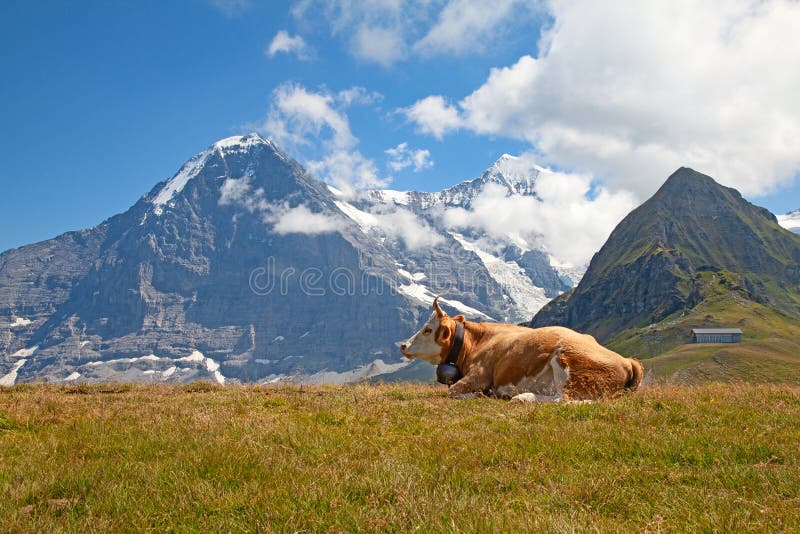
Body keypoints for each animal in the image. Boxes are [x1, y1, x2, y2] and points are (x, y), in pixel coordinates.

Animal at [399, 297, 643, 402]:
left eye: (428, 329)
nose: (403, 345)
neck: (477, 342)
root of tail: (627, 361)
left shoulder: (479, 375)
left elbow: (453, 391)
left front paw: (478, 395)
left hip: (566, 363)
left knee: (565, 400)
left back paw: (522, 397)